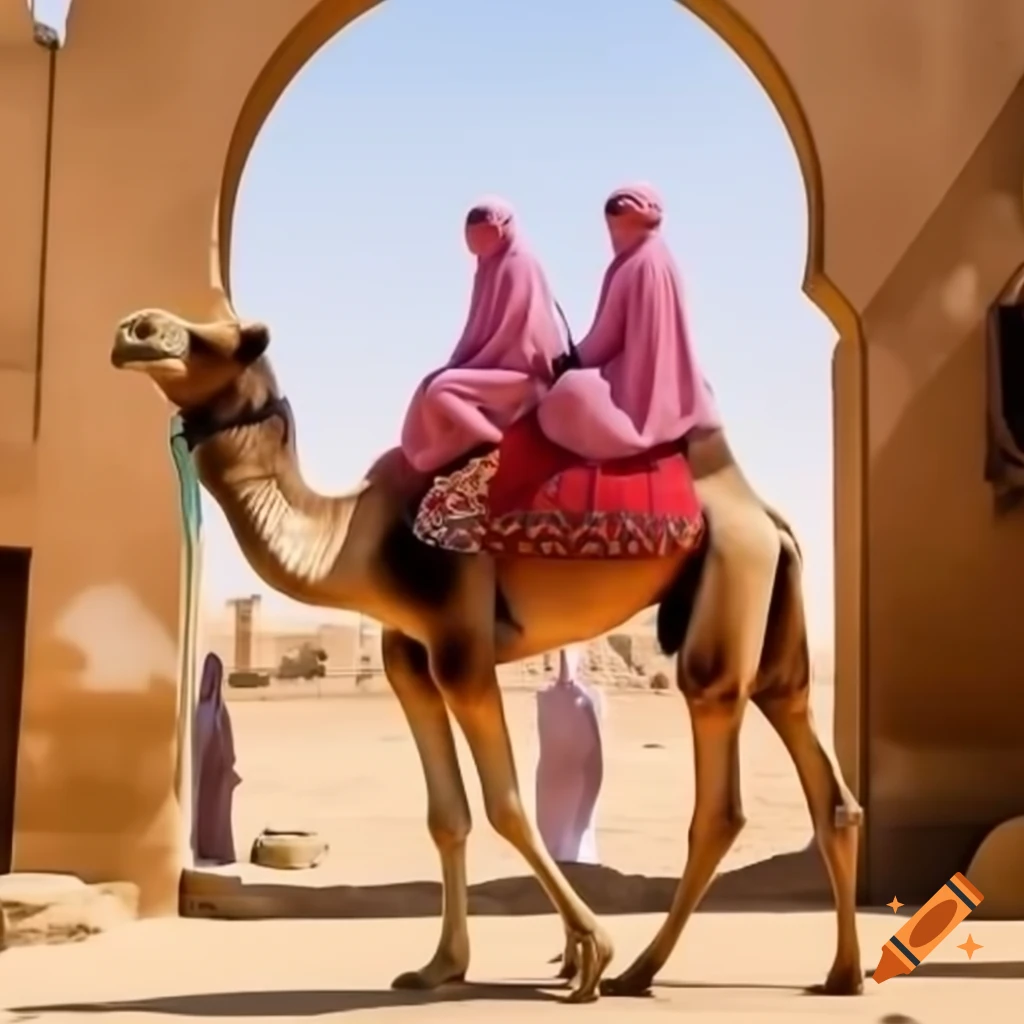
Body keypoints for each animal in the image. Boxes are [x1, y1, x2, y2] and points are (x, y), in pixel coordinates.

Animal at [110, 308, 864, 1003]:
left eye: (232, 338)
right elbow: (446, 817)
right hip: (772, 620)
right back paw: (842, 973)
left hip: (727, 591)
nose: (135, 330)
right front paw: (441, 966)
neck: (354, 541)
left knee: (719, 793)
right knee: (818, 767)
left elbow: (507, 805)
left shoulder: (460, 646)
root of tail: (766, 518)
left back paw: (640, 970)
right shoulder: (408, 656)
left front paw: (591, 951)